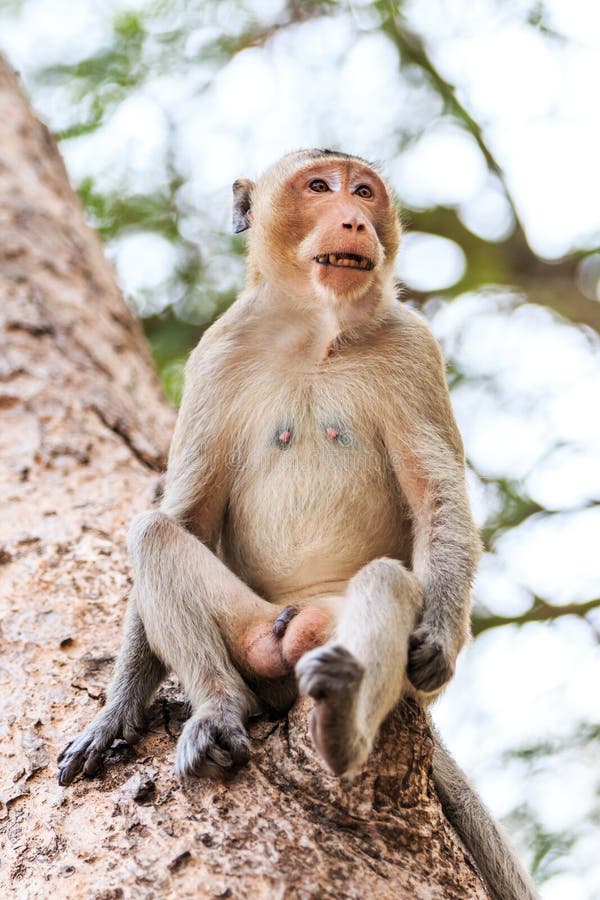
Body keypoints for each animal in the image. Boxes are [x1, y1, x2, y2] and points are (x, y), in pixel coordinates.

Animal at [58, 149, 538, 900]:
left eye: (364, 191)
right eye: (319, 186)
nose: (354, 219)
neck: (316, 333)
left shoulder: (413, 347)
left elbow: (438, 497)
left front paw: (439, 639)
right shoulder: (217, 353)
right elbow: (184, 516)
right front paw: (115, 713)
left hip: (337, 638)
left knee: (387, 585)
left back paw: (341, 727)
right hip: (256, 637)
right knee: (155, 537)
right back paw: (219, 711)